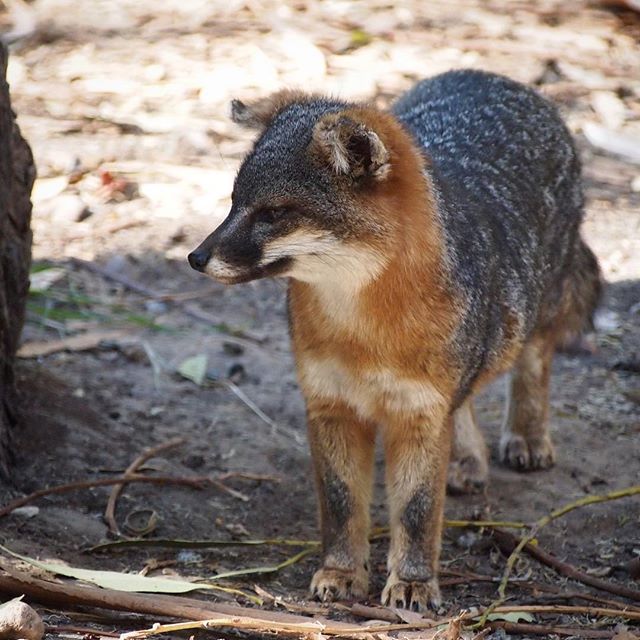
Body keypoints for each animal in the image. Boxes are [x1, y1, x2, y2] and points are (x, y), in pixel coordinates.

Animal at [188, 69, 601, 611]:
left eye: (274, 213)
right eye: (234, 203)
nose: (195, 257)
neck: (363, 333)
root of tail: (496, 78)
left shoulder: (418, 414)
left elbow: (417, 511)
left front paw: (412, 581)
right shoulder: (332, 407)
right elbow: (342, 504)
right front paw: (341, 572)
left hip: (540, 309)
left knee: (534, 361)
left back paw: (527, 435)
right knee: (464, 401)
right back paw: (466, 458)